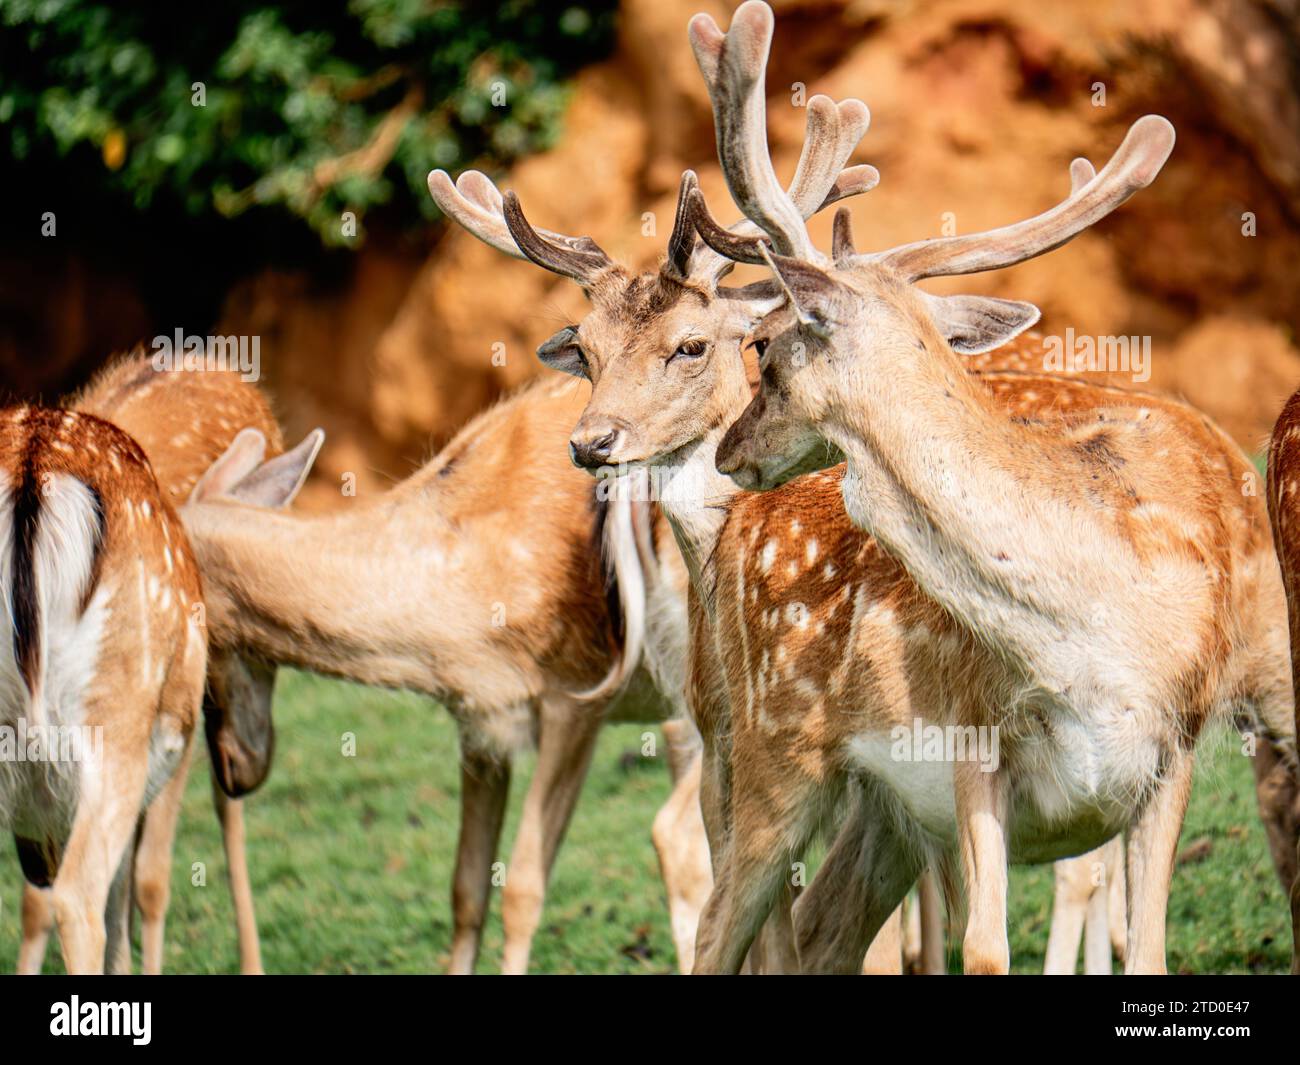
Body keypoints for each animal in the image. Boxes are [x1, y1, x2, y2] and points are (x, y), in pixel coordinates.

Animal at [174, 372, 716, 974]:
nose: (234, 767)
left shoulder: (578, 691)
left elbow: (523, 890)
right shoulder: (479, 723)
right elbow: (467, 890)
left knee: (680, 837)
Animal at [440, 0, 1295, 973]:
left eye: (734, 345)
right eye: (580, 349)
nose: (591, 442)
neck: (1098, 633)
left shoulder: (1170, 753)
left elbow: (1132, 943)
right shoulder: (962, 753)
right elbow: (980, 947)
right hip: (774, 763)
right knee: (746, 931)